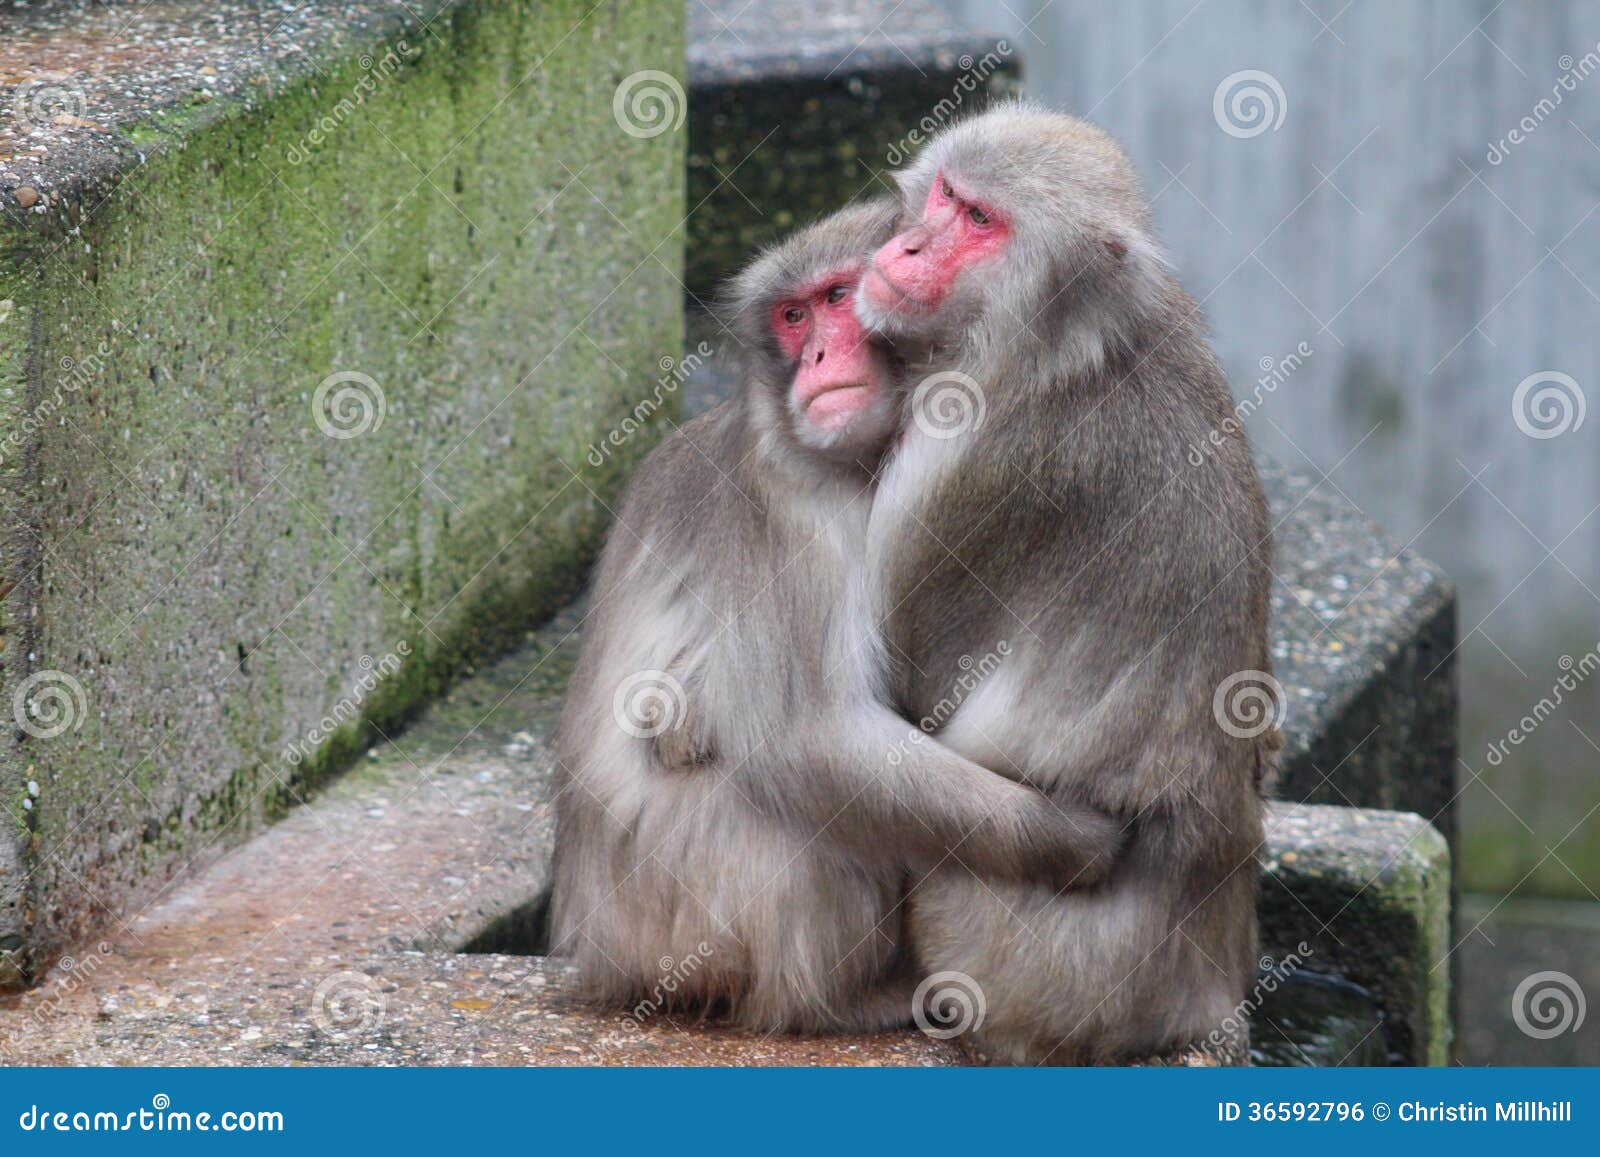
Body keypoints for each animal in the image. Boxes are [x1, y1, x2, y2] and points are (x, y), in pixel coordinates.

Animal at [548, 197, 1124, 1035]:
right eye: (794, 316)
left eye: (839, 297)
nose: (819, 354)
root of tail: (597, 950)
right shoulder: (801, 513)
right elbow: (807, 737)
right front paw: (1073, 840)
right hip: (682, 915)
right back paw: (840, 999)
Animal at [854, 105, 1274, 1064]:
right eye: (947, 194)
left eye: (981, 222)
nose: (906, 248)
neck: (1059, 344)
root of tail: (1199, 990)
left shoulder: (968, 459)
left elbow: (914, 684)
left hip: (1000, 952)